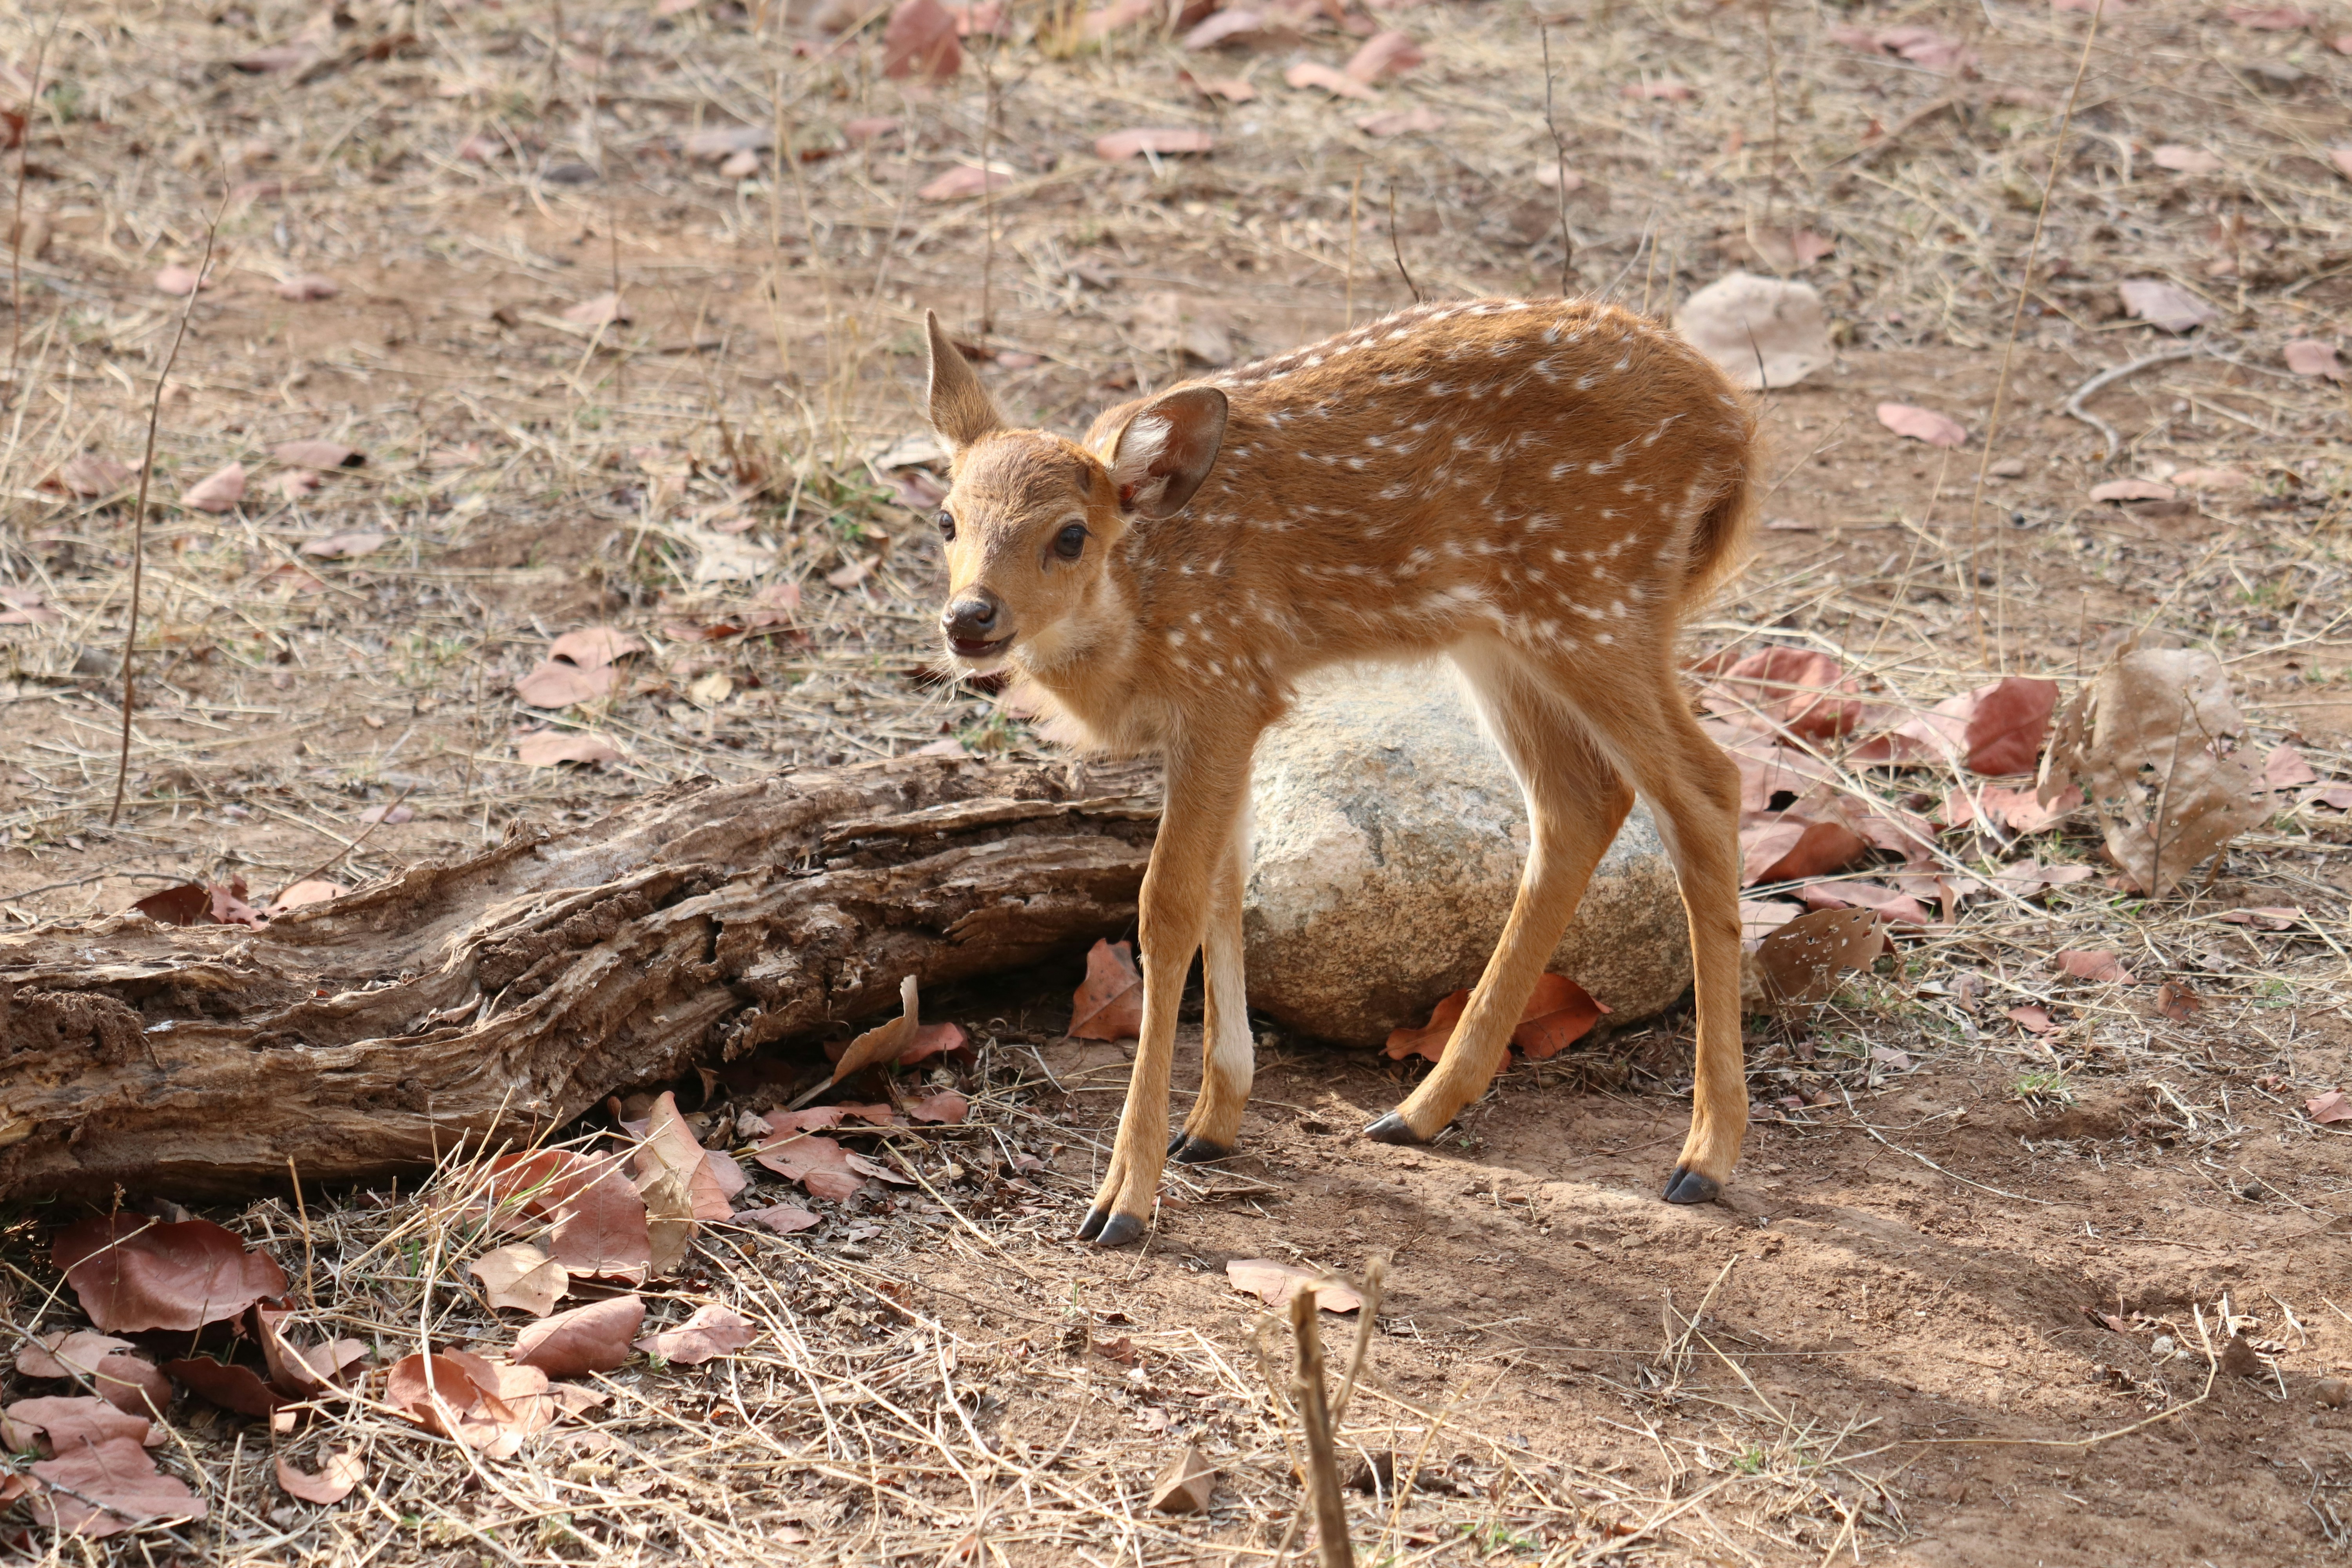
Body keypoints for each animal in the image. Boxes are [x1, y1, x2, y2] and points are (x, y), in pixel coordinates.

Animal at [920, 295, 1757, 1246]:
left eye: (1070, 534)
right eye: (946, 519)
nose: (970, 618)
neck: (1141, 601)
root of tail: (1734, 427)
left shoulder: (1220, 686)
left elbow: (1169, 908)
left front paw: (1123, 1198)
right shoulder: (1232, 710)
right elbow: (1227, 887)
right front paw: (1212, 1123)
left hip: (1598, 593)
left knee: (1708, 788)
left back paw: (1703, 1157)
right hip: (1505, 632)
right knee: (1580, 799)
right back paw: (1421, 1111)